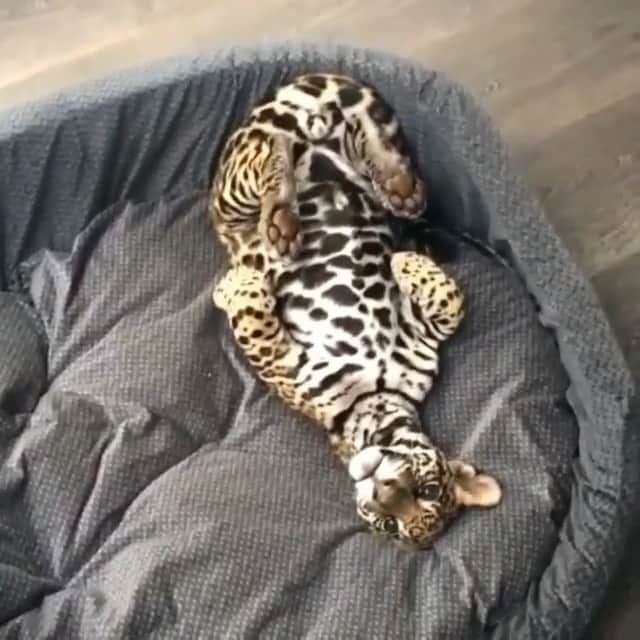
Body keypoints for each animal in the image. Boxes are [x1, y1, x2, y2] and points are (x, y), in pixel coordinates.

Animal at [208, 73, 501, 549]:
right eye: (426, 490)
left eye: (398, 518)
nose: (379, 491)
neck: (375, 400)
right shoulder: (283, 364)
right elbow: (453, 305)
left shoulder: (415, 334)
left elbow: (451, 305)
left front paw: (404, 262)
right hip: (233, 194)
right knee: (273, 154)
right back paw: (287, 216)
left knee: (358, 133)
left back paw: (396, 182)